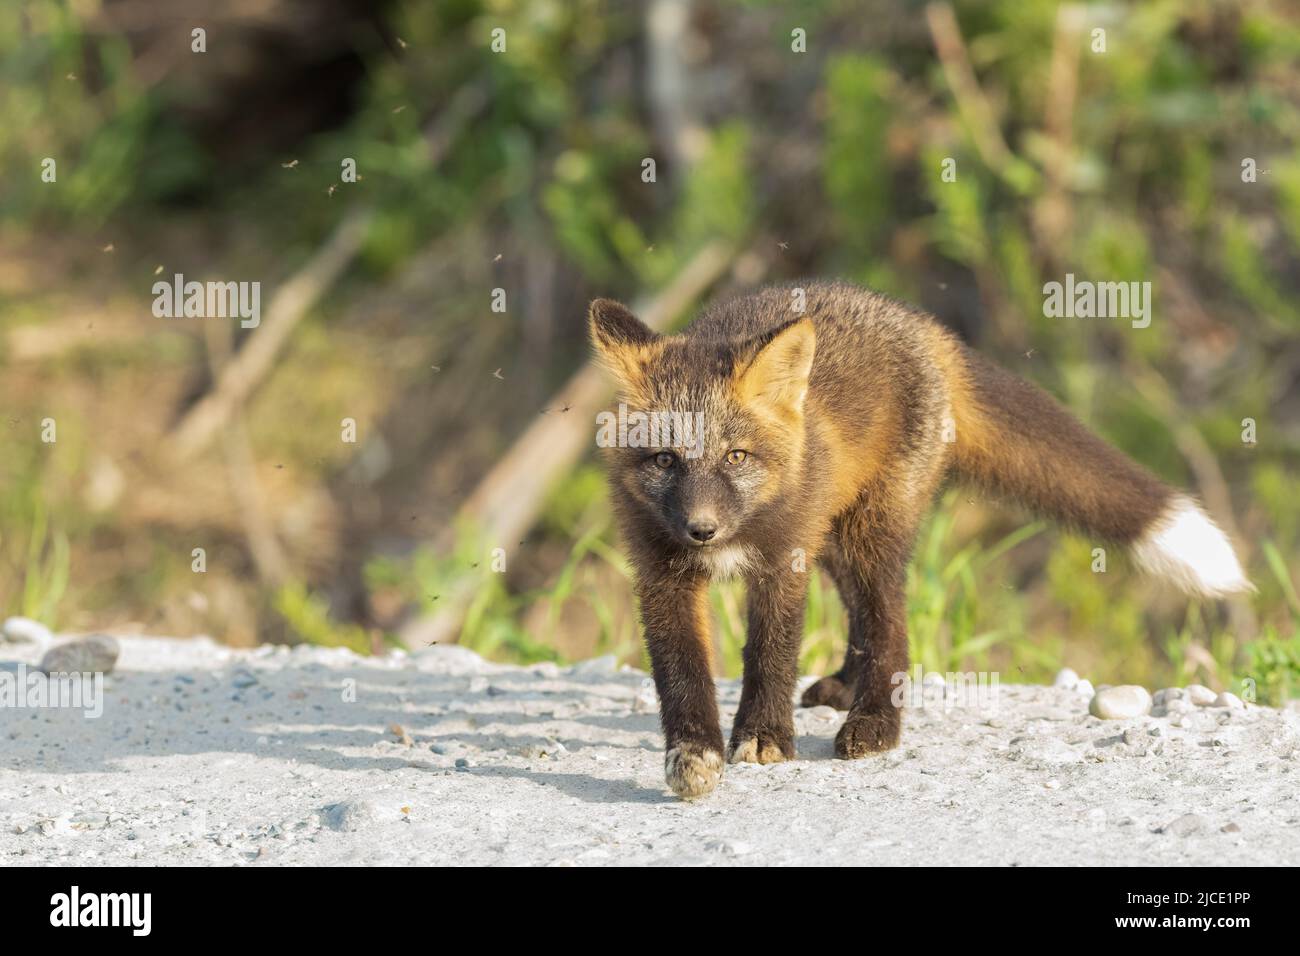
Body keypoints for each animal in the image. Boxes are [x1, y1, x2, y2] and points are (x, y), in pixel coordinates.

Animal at [588, 280, 1252, 799]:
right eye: (665, 460)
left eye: (736, 457)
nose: (701, 529)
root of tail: (922, 324)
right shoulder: (662, 577)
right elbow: (681, 673)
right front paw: (693, 755)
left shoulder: (783, 563)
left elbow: (771, 653)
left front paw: (764, 738)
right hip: (838, 543)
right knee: (863, 615)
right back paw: (846, 687)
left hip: (867, 537)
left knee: (889, 621)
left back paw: (876, 721)